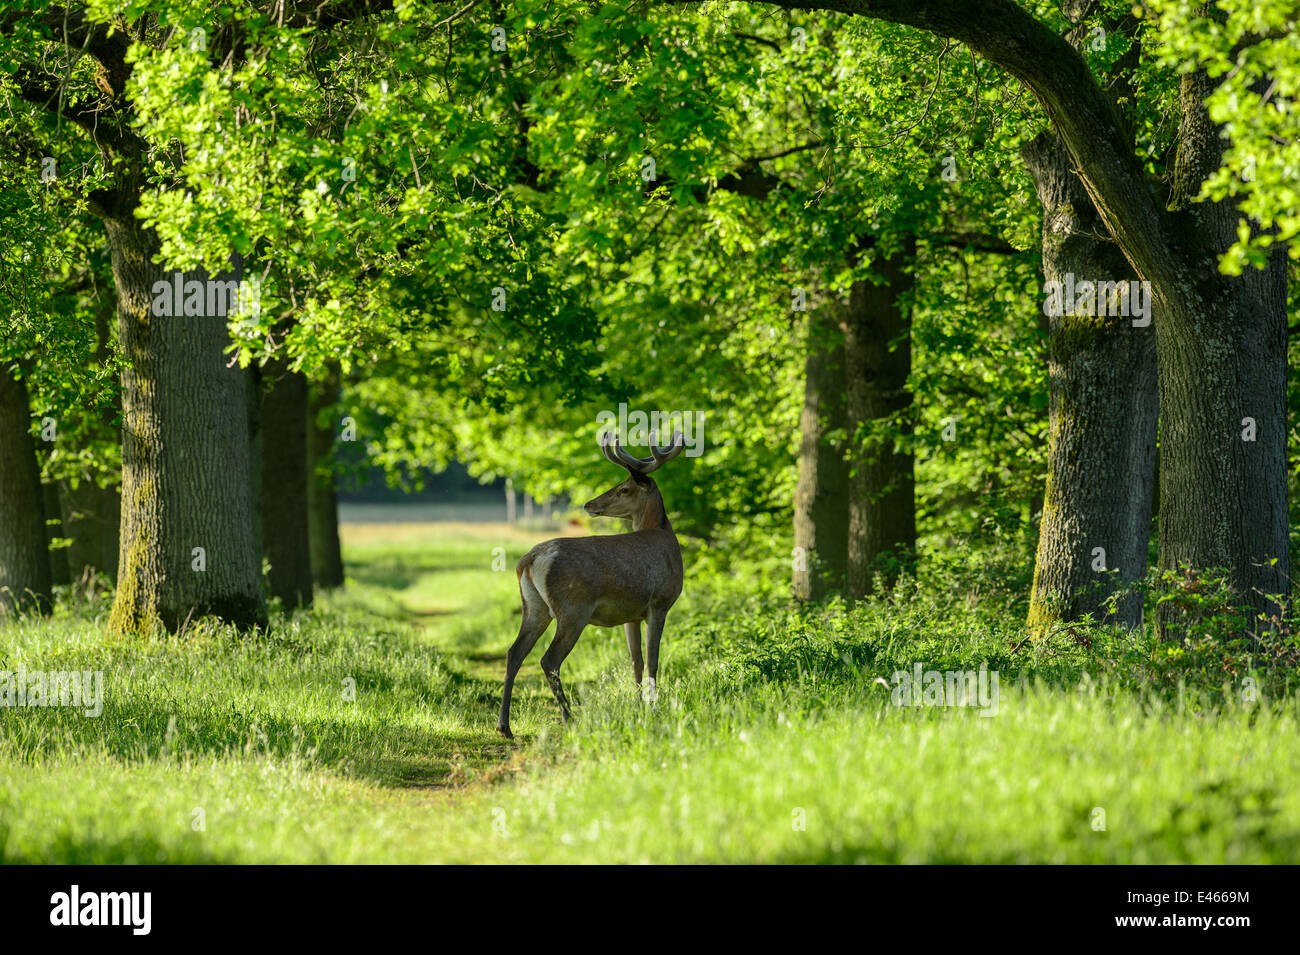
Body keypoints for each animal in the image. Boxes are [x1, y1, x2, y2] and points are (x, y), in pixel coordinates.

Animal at [497, 429, 686, 739]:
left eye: (623, 489)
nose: (589, 504)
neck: (665, 537)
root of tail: (529, 561)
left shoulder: (631, 614)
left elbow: (635, 661)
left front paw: (639, 707)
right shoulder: (659, 603)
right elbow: (653, 660)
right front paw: (654, 708)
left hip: (534, 607)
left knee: (514, 652)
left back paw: (505, 727)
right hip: (573, 609)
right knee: (549, 660)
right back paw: (569, 718)